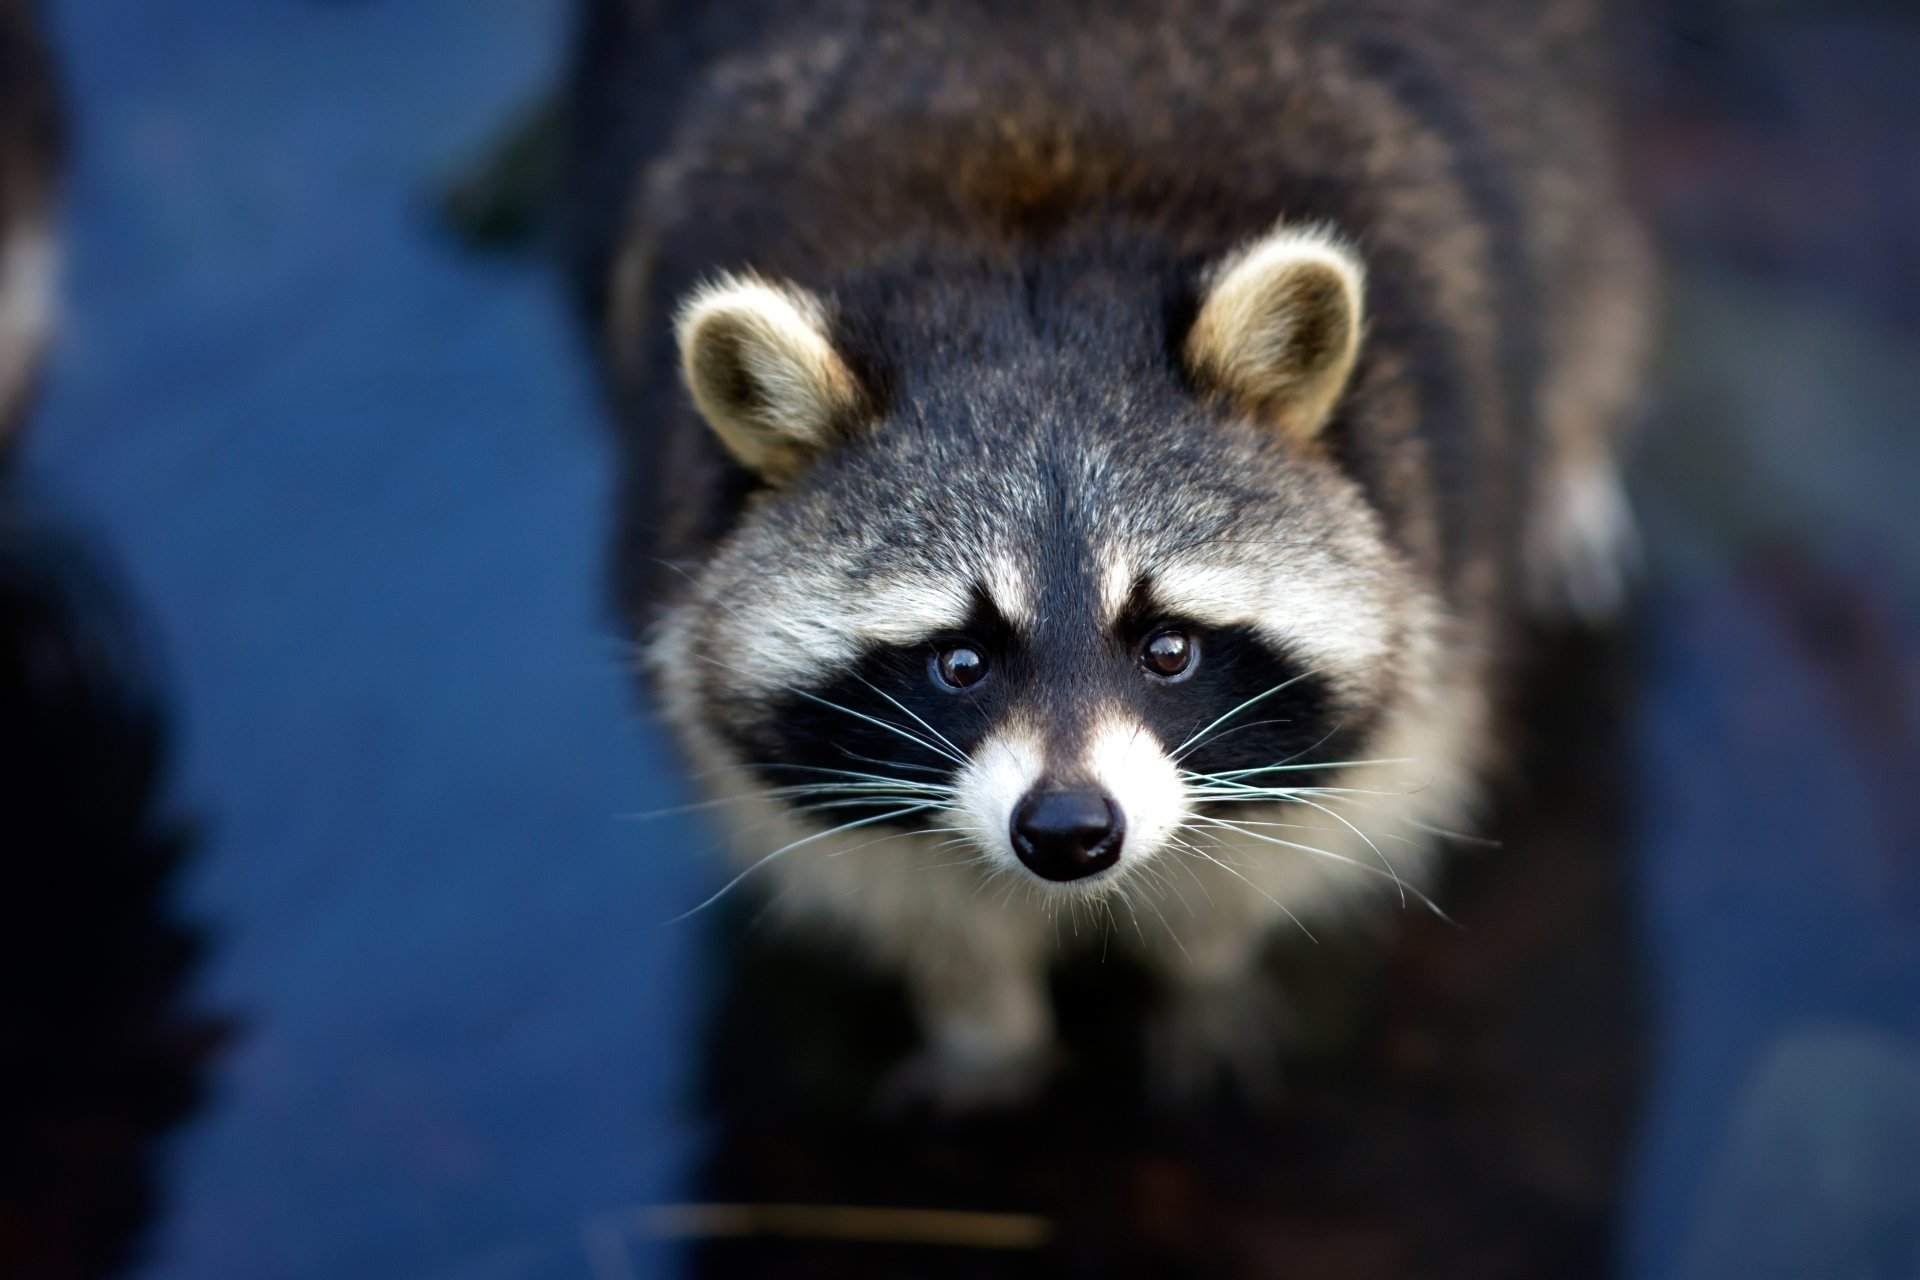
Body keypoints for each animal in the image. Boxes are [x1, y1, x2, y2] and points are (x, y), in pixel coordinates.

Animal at [568, 0, 1651, 1103]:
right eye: (959, 660)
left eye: (1167, 646)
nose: (1067, 831)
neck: (1030, 204)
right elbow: (918, 903)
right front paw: (983, 1028)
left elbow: (1263, 861)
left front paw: (1207, 973)